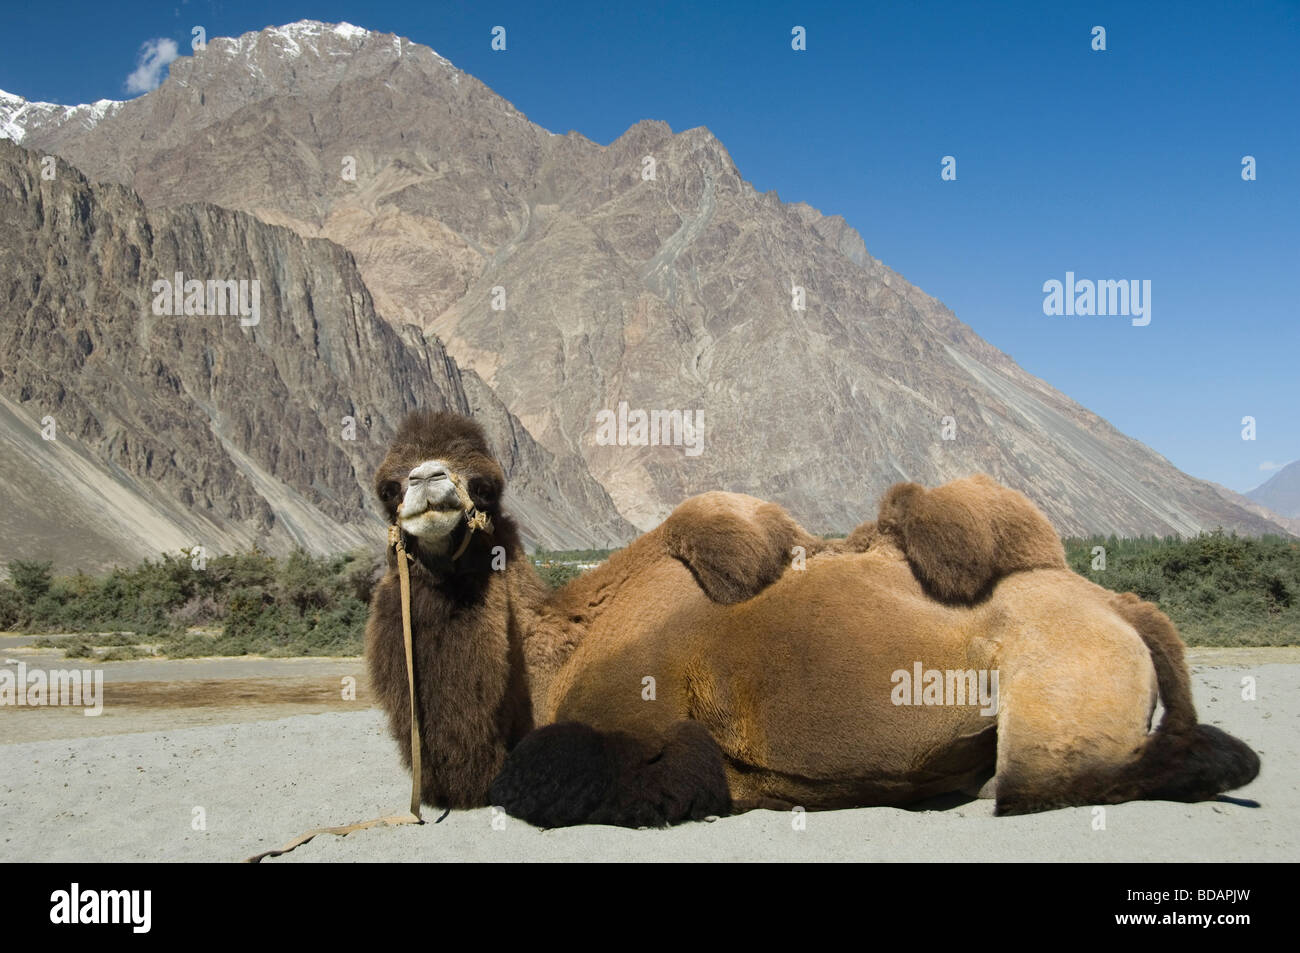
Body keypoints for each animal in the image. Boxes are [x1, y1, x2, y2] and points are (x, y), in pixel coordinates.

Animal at [364, 410, 1260, 826]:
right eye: (385, 482)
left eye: (485, 483)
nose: (430, 487)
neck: (561, 648)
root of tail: (1121, 604)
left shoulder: (637, 721)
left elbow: (537, 775)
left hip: (1058, 703)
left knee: (1054, 781)